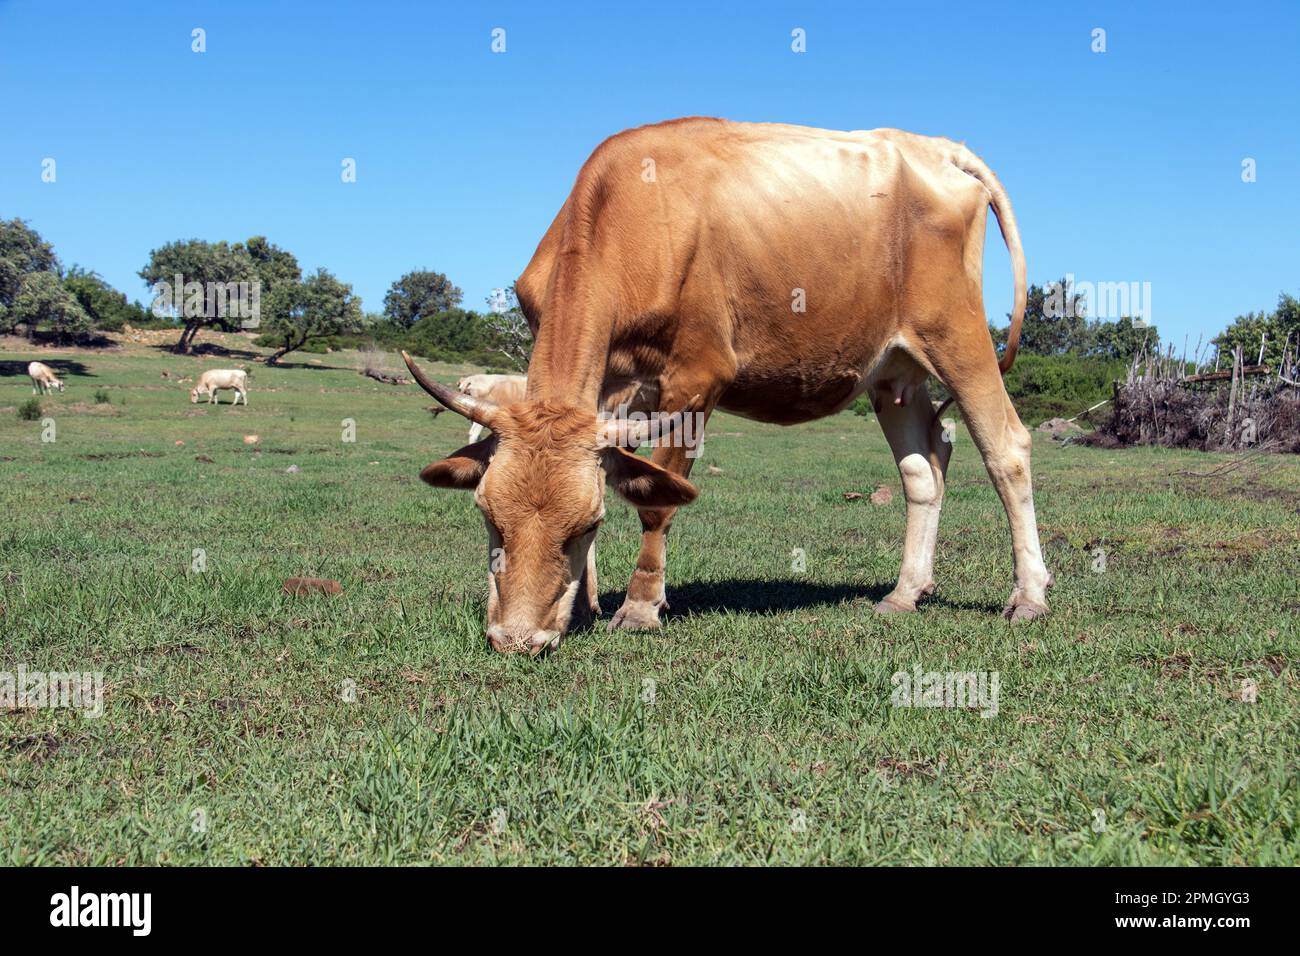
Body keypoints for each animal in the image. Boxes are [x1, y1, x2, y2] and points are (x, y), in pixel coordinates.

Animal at [403, 117, 1052, 656]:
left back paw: (1029, 596)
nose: (517, 639)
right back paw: (905, 592)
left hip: (957, 334)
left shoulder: (696, 378)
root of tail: (937, 147)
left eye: (585, 525)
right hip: (893, 369)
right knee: (924, 467)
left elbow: (658, 499)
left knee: (1006, 450)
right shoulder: (609, 395)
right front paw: (586, 606)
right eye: (488, 517)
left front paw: (640, 608)